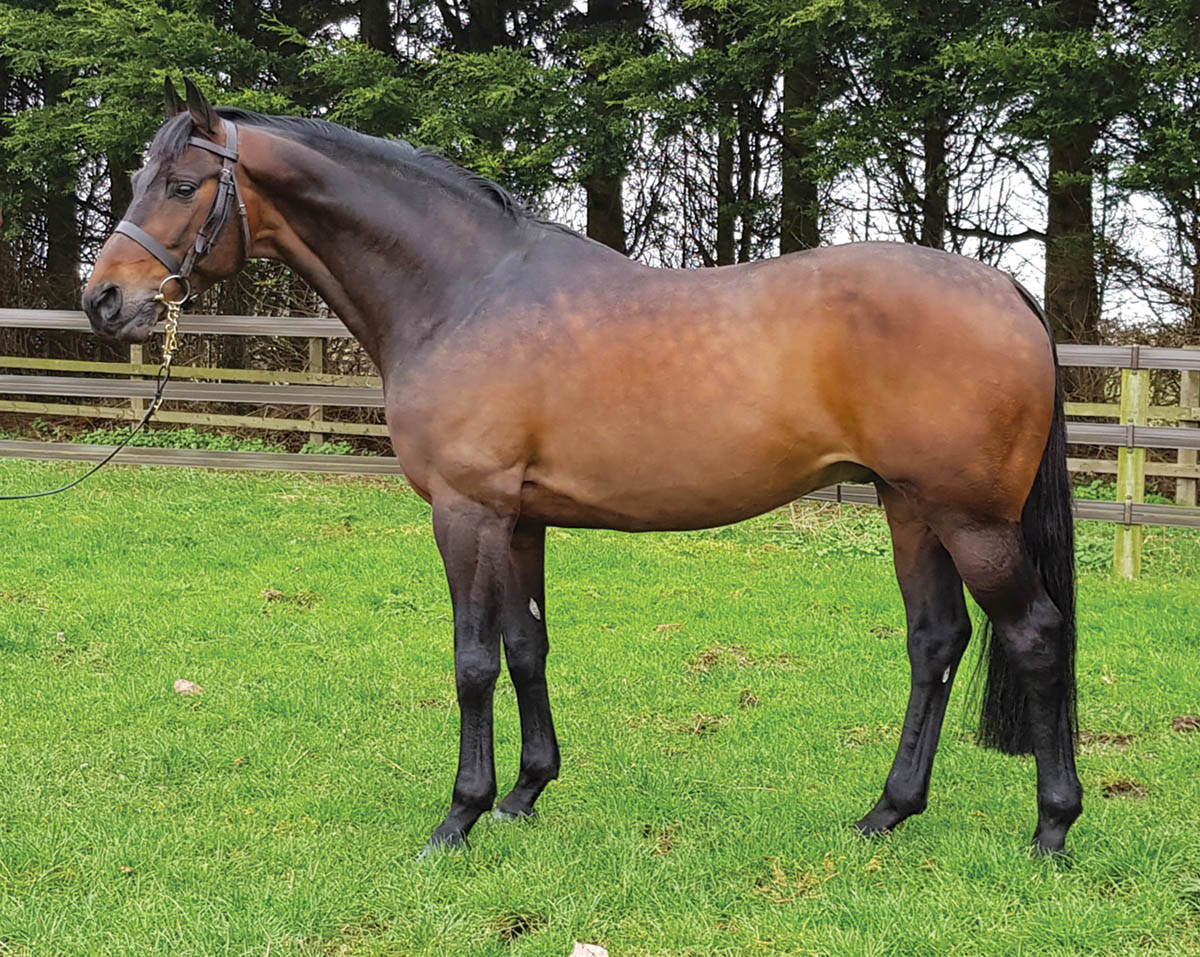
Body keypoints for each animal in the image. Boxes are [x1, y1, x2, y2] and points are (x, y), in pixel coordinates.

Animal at [82, 78, 1082, 857]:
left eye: (182, 183)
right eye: (137, 177)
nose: (103, 300)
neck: (464, 291)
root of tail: (1005, 289)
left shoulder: (467, 511)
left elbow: (473, 659)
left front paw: (459, 817)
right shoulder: (521, 517)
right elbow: (526, 646)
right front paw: (526, 793)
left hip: (970, 519)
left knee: (1035, 634)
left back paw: (1051, 827)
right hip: (910, 508)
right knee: (936, 641)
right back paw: (887, 811)